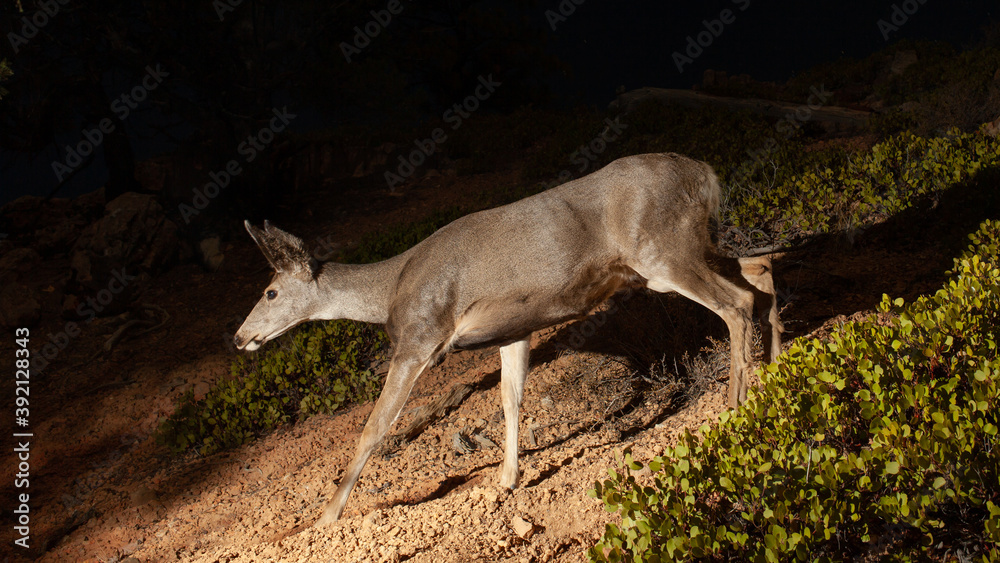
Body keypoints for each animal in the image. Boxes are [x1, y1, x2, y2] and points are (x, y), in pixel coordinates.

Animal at [233, 152, 783, 526]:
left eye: (270, 291)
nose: (240, 338)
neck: (390, 289)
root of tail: (705, 175)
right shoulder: (515, 329)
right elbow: (510, 399)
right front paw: (507, 479)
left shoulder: (420, 338)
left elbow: (374, 428)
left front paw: (325, 516)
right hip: (680, 254)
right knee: (759, 270)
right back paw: (777, 366)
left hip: (662, 249)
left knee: (736, 303)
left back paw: (736, 401)